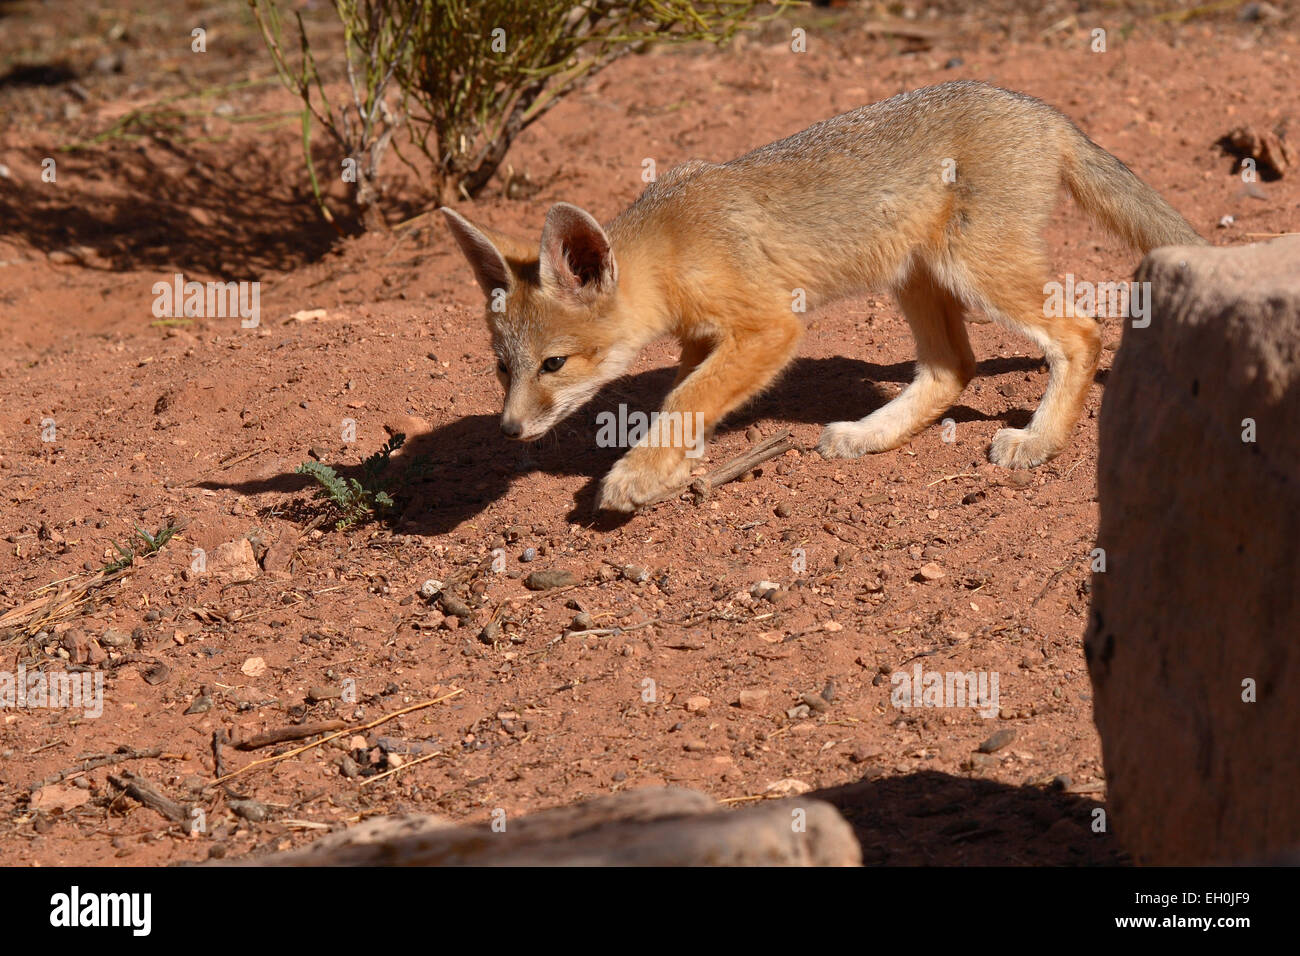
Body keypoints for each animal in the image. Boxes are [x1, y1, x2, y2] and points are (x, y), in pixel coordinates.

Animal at [441, 80, 1206, 512]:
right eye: (501, 369)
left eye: (553, 365)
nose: (509, 429)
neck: (673, 240)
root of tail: (1043, 111)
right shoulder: (705, 338)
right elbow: (689, 399)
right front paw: (672, 466)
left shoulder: (770, 328)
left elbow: (683, 397)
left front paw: (637, 474)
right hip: (917, 277)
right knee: (952, 369)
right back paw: (869, 435)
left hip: (975, 269)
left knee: (1081, 334)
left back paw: (1040, 440)